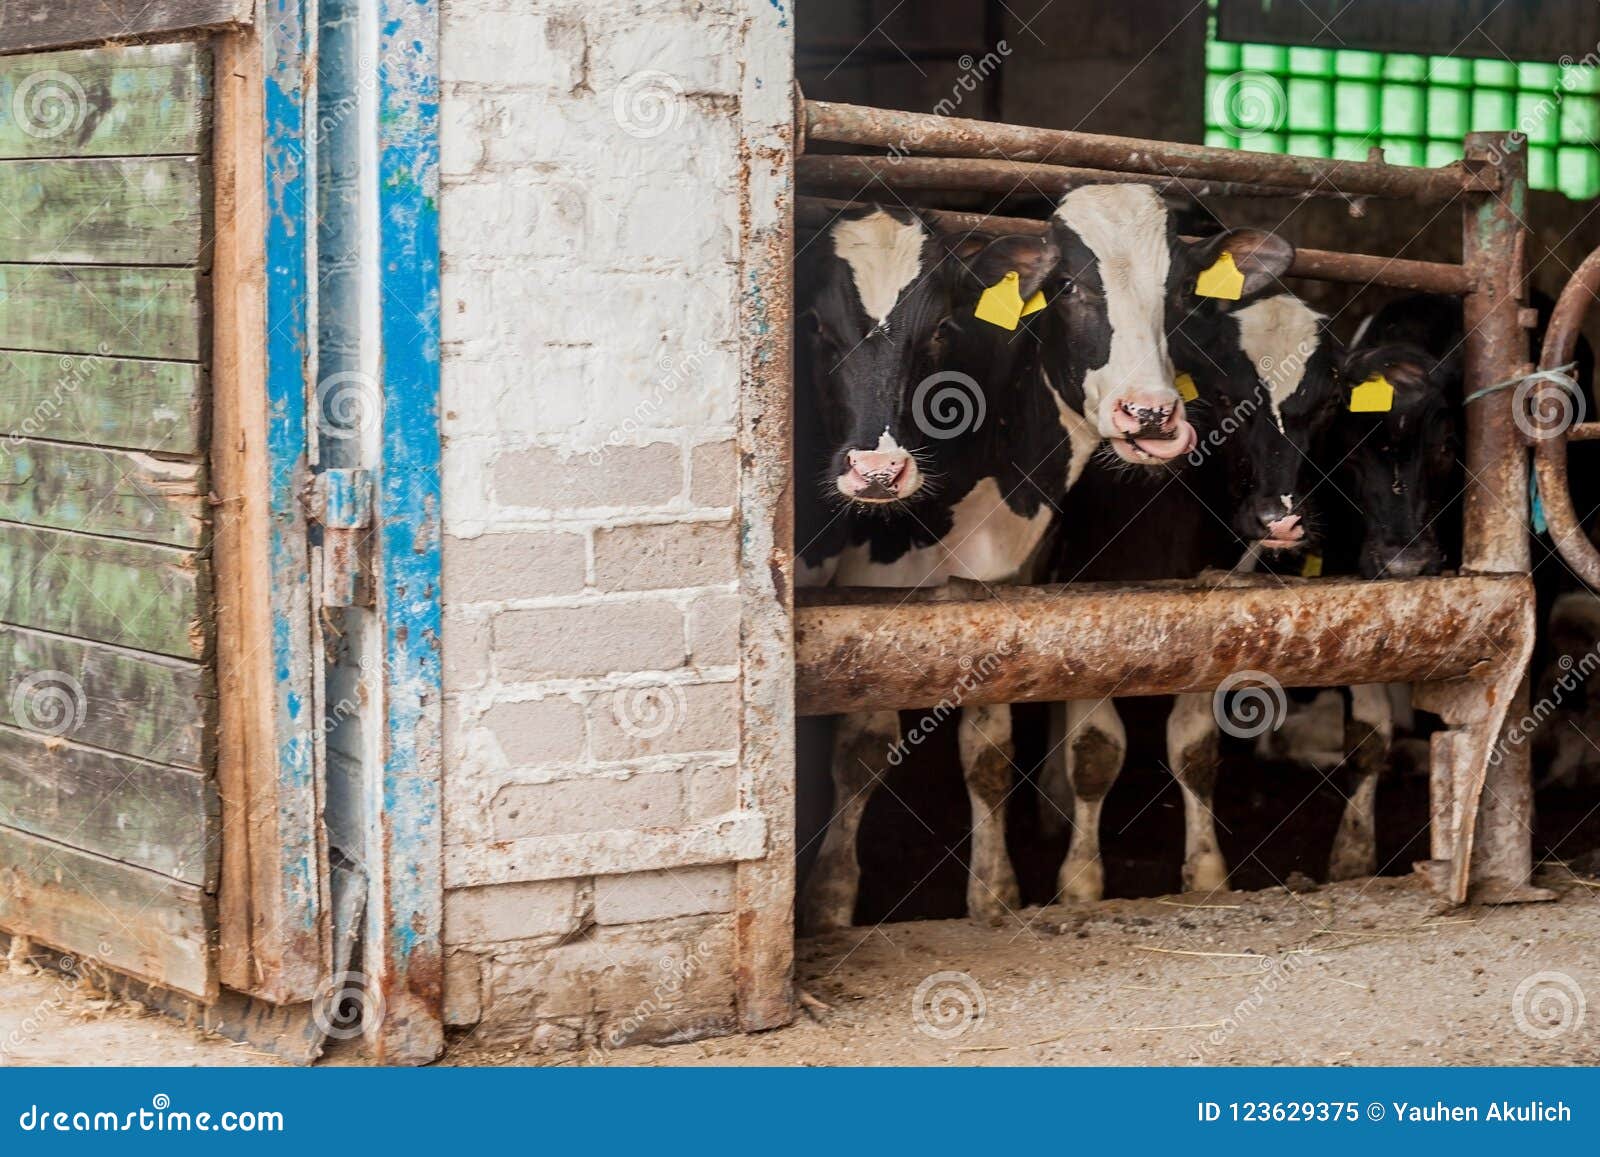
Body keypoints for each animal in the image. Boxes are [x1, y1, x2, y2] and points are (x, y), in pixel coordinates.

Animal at [796, 188, 1288, 929]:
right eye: (1071, 290)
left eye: (1180, 295)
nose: (1152, 415)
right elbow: (860, 748)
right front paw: (829, 896)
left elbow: (992, 747)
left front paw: (994, 892)